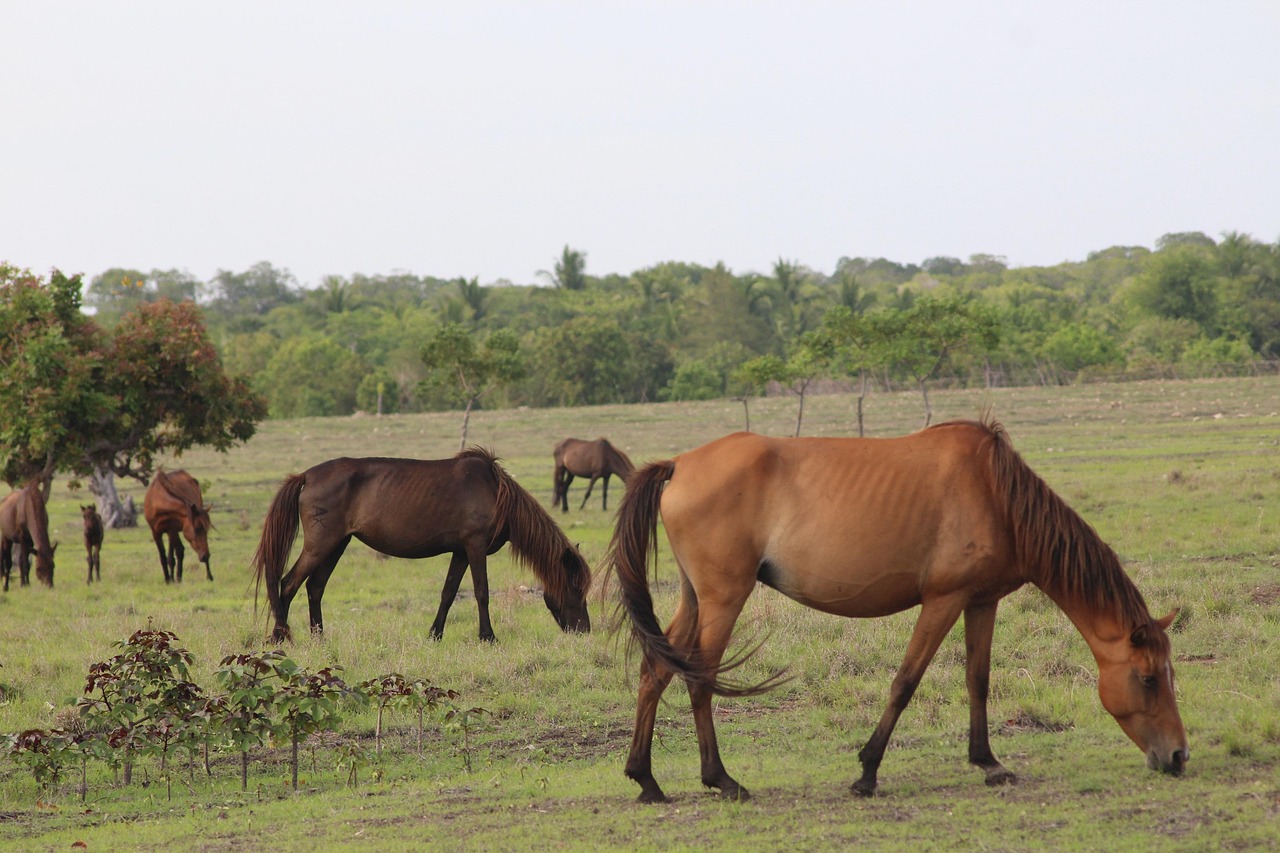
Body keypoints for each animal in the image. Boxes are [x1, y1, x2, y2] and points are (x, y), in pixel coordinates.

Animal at [252, 447, 592, 644]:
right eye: (576, 587)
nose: (585, 631)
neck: (495, 492)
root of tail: (306, 476)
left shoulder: (460, 551)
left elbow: (449, 592)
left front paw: (435, 634)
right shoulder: (475, 547)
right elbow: (481, 592)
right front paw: (488, 636)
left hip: (337, 544)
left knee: (315, 587)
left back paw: (319, 638)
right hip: (320, 545)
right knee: (288, 584)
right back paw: (281, 637)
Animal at [605, 419, 1189, 803]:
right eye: (1148, 678)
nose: (1179, 757)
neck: (996, 494)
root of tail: (680, 465)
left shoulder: (981, 601)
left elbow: (978, 680)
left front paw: (988, 762)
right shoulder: (943, 600)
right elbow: (906, 682)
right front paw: (867, 773)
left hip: (695, 598)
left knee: (656, 670)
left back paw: (647, 781)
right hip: (724, 598)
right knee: (699, 678)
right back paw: (720, 780)